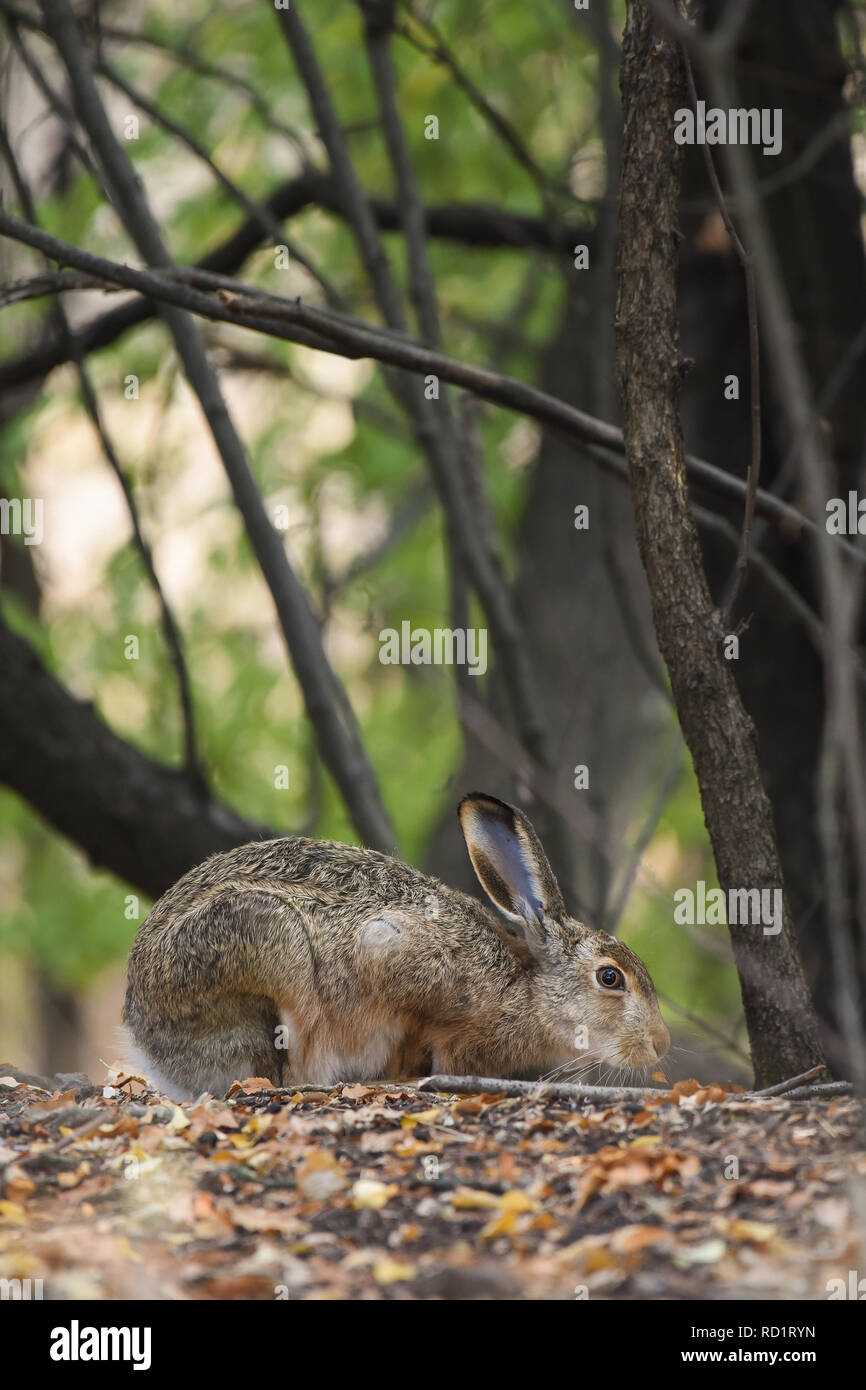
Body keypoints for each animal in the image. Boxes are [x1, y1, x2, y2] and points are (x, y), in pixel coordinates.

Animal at [121, 792, 670, 1100]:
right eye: (610, 977)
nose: (660, 1044)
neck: (523, 988)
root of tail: (141, 1029)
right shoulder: (391, 957)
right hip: (271, 948)